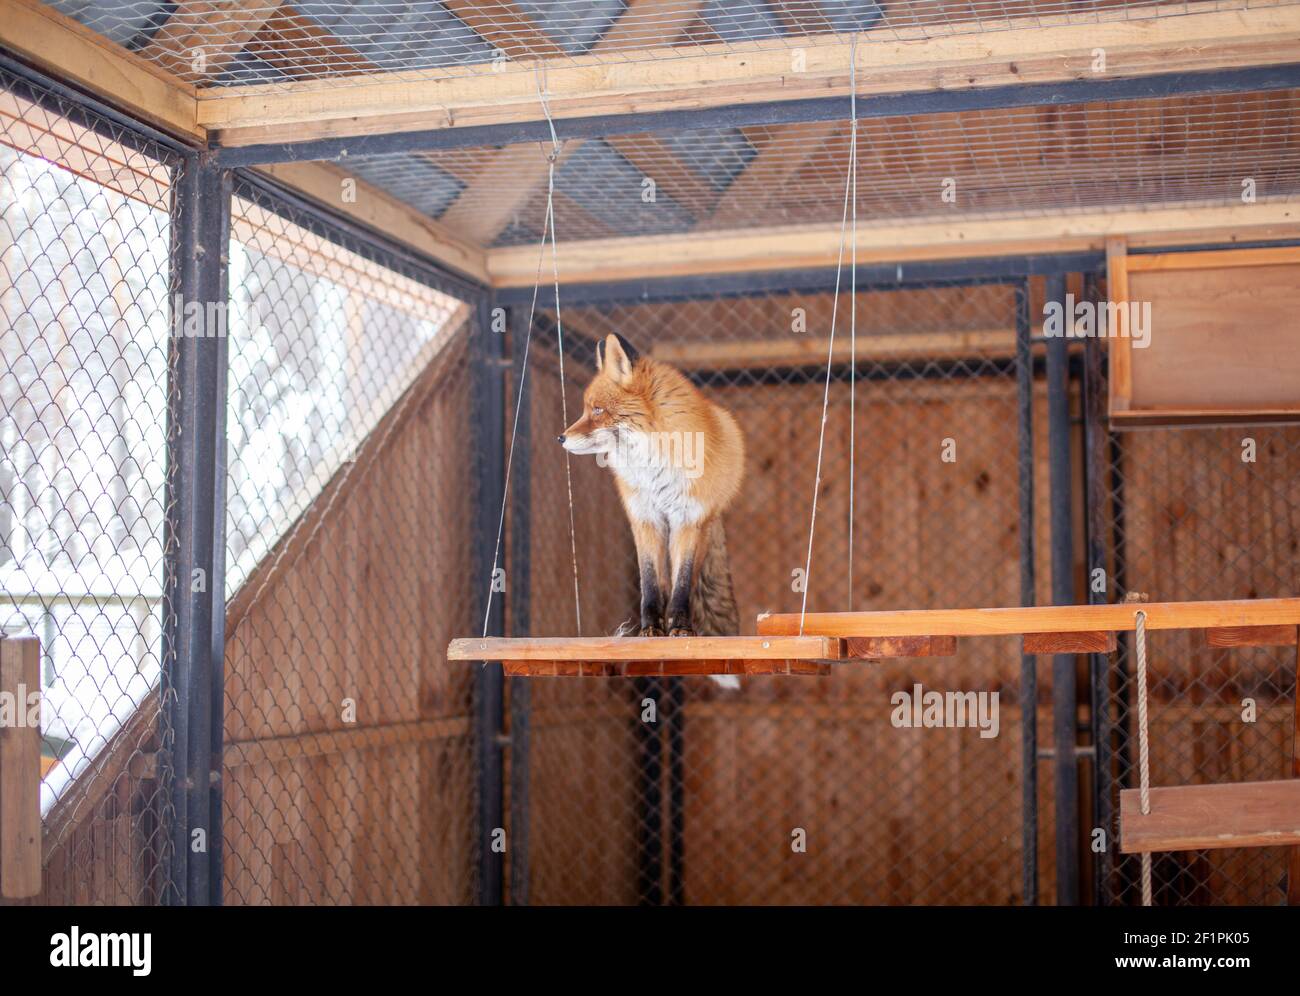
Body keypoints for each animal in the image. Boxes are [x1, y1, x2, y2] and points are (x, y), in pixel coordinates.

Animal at [558, 333, 744, 684]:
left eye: (598, 409)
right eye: (587, 409)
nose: (560, 438)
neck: (654, 462)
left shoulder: (687, 519)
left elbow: (682, 585)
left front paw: (680, 628)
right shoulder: (644, 518)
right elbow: (649, 585)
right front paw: (649, 630)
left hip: (700, 528)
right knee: (662, 580)